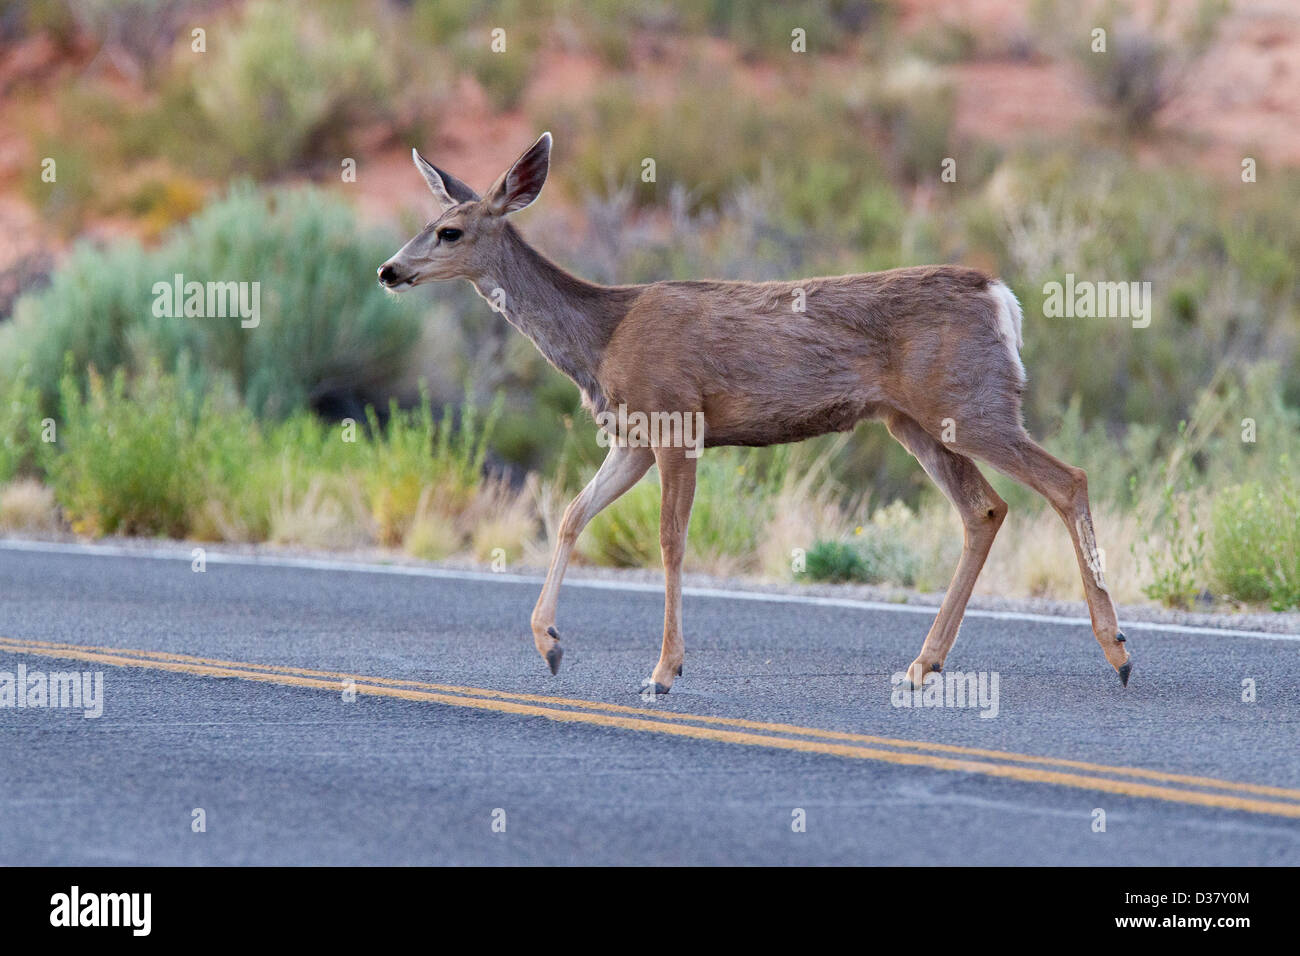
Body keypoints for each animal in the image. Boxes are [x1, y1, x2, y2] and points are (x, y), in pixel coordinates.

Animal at [378, 132, 1132, 696]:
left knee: (1067, 479)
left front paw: (664, 671)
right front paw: (550, 645)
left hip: (972, 402)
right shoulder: (631, 437)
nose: (388, 270)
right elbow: (570, 514)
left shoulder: (676, 417)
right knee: (985, 509)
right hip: (914, 420)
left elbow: (670, 540)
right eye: (423, 225)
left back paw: (1118, 651)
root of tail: (1002, 298)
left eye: (449, 231)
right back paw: (924, 664)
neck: (602, 333)